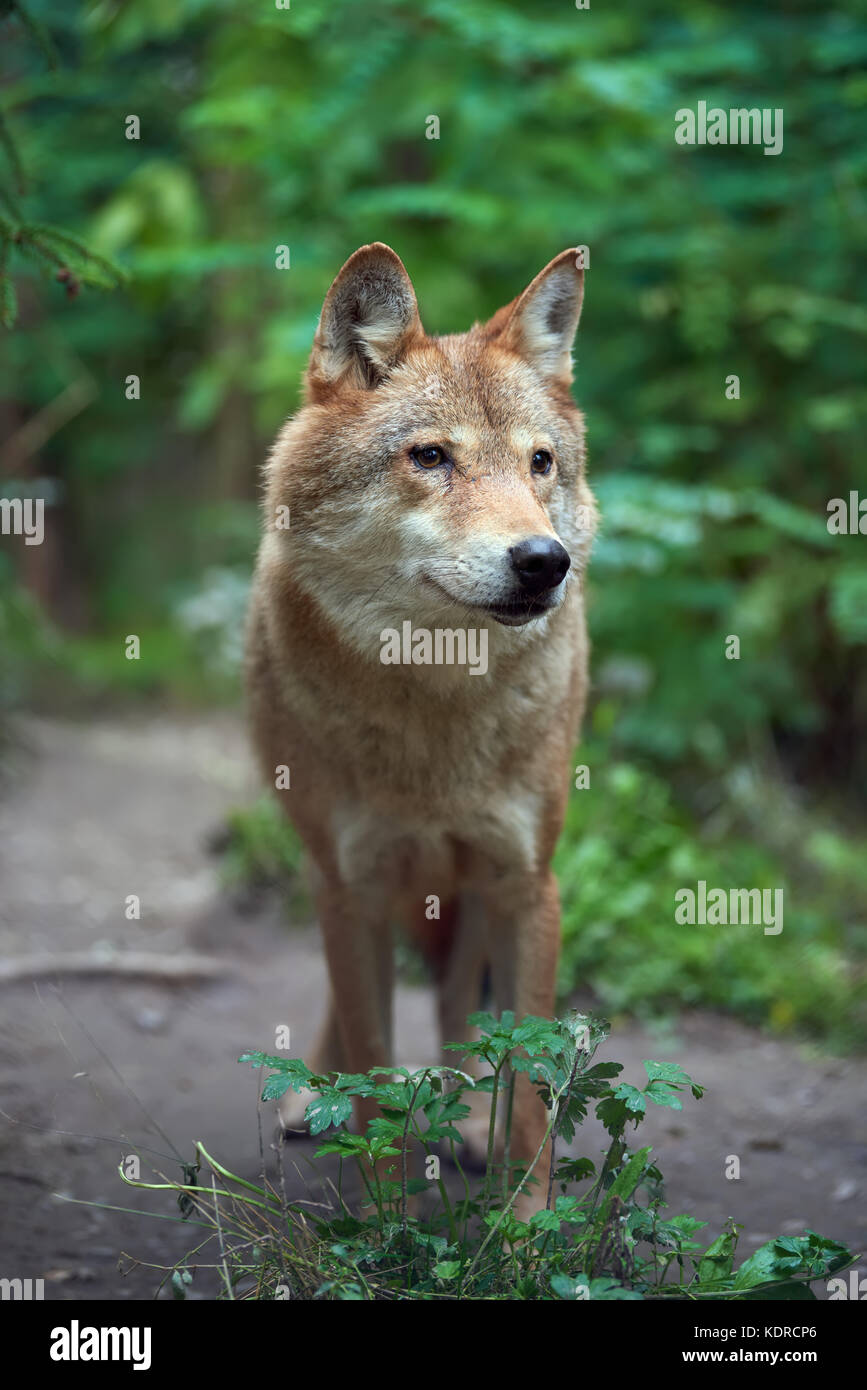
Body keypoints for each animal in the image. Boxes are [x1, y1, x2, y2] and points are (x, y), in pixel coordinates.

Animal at [245, 243, 596, 1211]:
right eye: (430, 456)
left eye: (539, 463)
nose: (543, 561)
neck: (435, 714)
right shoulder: (352, 886)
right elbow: (372, 1067)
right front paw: (384, 1219)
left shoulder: (525, 885)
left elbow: (524, 1080)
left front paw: (524, 1223)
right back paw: (310, 1099)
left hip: (468, 895)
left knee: (457, 1017)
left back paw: (467, 1123)